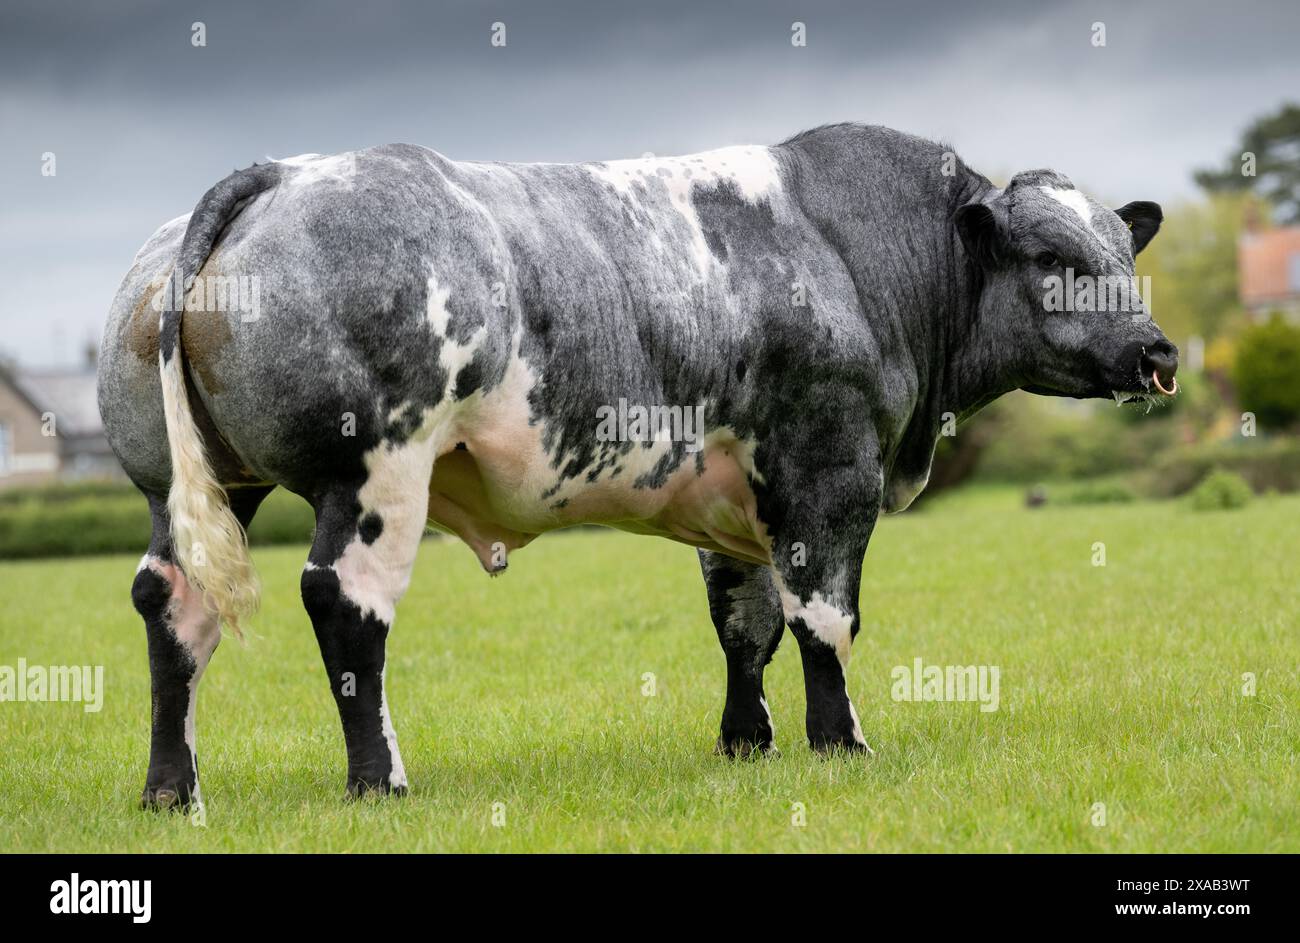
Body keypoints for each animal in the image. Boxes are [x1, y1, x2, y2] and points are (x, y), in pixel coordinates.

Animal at [98, 123, 1176, 809]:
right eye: (1051, 258)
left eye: (1123, 253)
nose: (1156, 351)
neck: (853, 251)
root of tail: (283, 173)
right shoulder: (830, 469)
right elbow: (823, 616)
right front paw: (841, 744)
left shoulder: (739, 492)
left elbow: (746, 624)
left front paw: (747, 745)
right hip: (374, 473)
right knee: (343, 601)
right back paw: (380, 782)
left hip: (186, 489)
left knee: (170, 603)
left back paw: (169, 790)